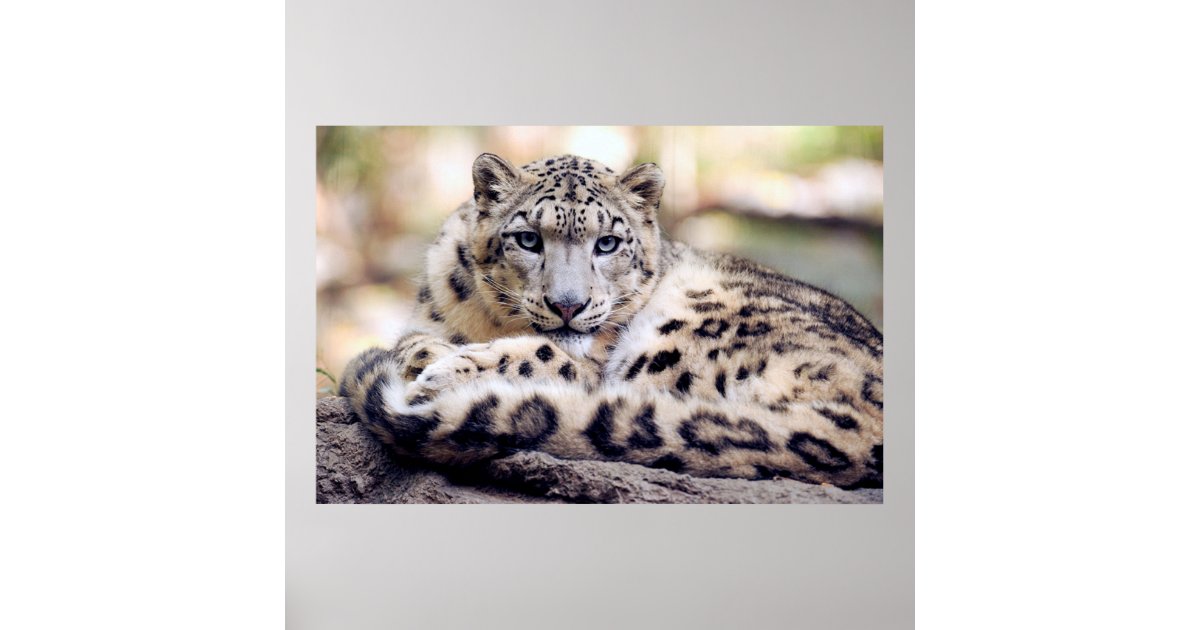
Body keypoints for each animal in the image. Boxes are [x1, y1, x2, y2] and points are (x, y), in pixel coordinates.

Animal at [338, 153, 883, 489]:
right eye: (528, 238)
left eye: (608, 243)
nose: (568, 304)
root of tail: (868, 432)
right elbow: (414, 339)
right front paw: (426, 354)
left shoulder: (590, 362)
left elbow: (543, 354)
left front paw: (441, 370)